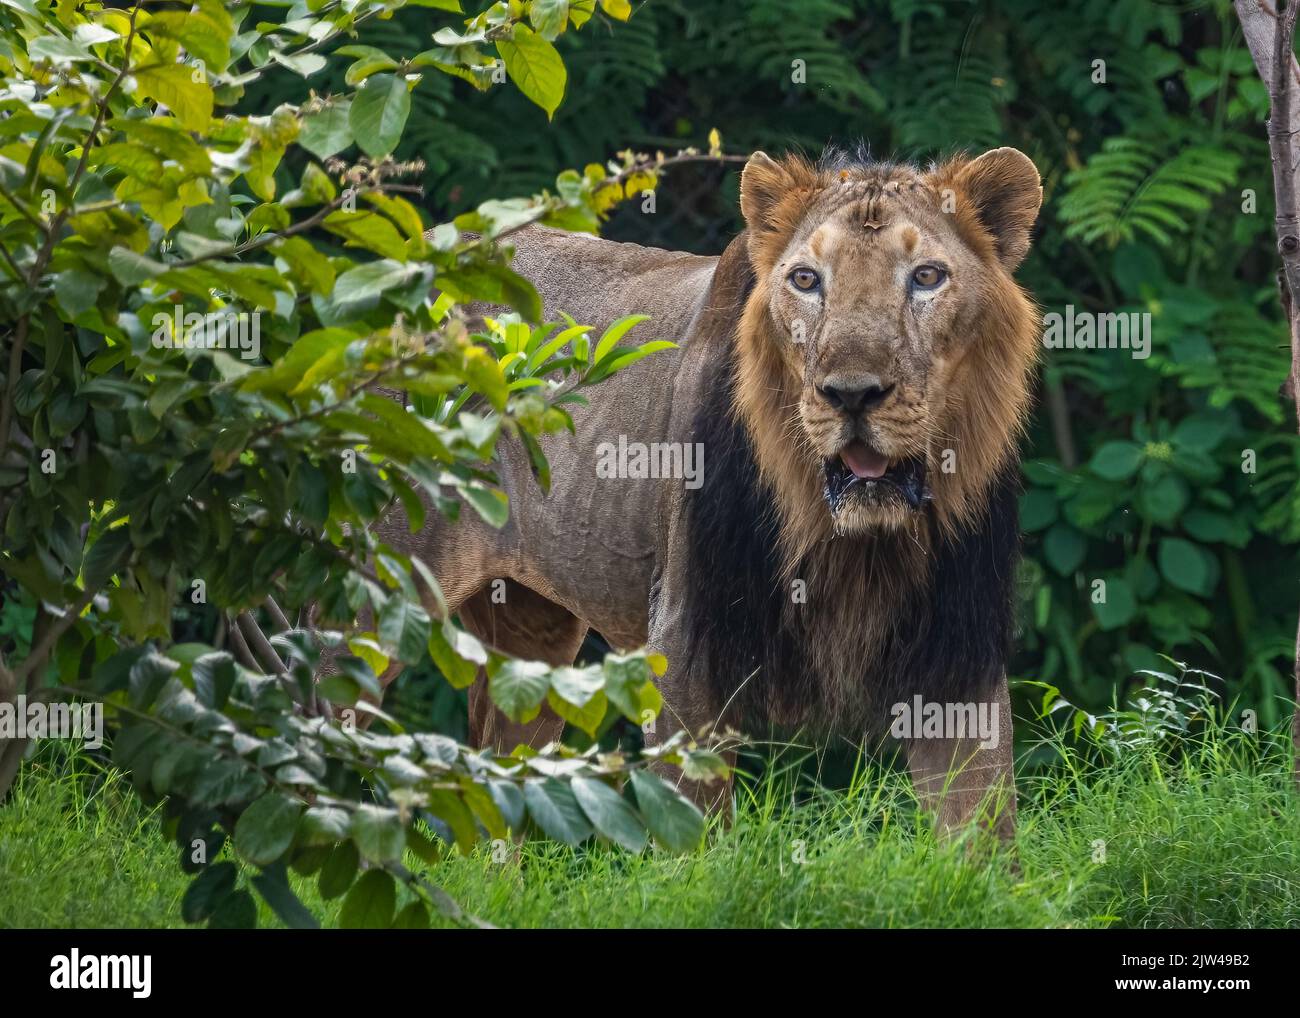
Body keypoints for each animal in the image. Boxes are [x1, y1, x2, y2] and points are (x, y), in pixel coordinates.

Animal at [374, 146, 1042, 836]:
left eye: (927, 277)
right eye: (806, 280)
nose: (851, 394)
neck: (850, 540)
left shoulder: (958, 656)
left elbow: (983, 830)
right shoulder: (682, 649)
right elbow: (696, 835)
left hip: (533, 642)